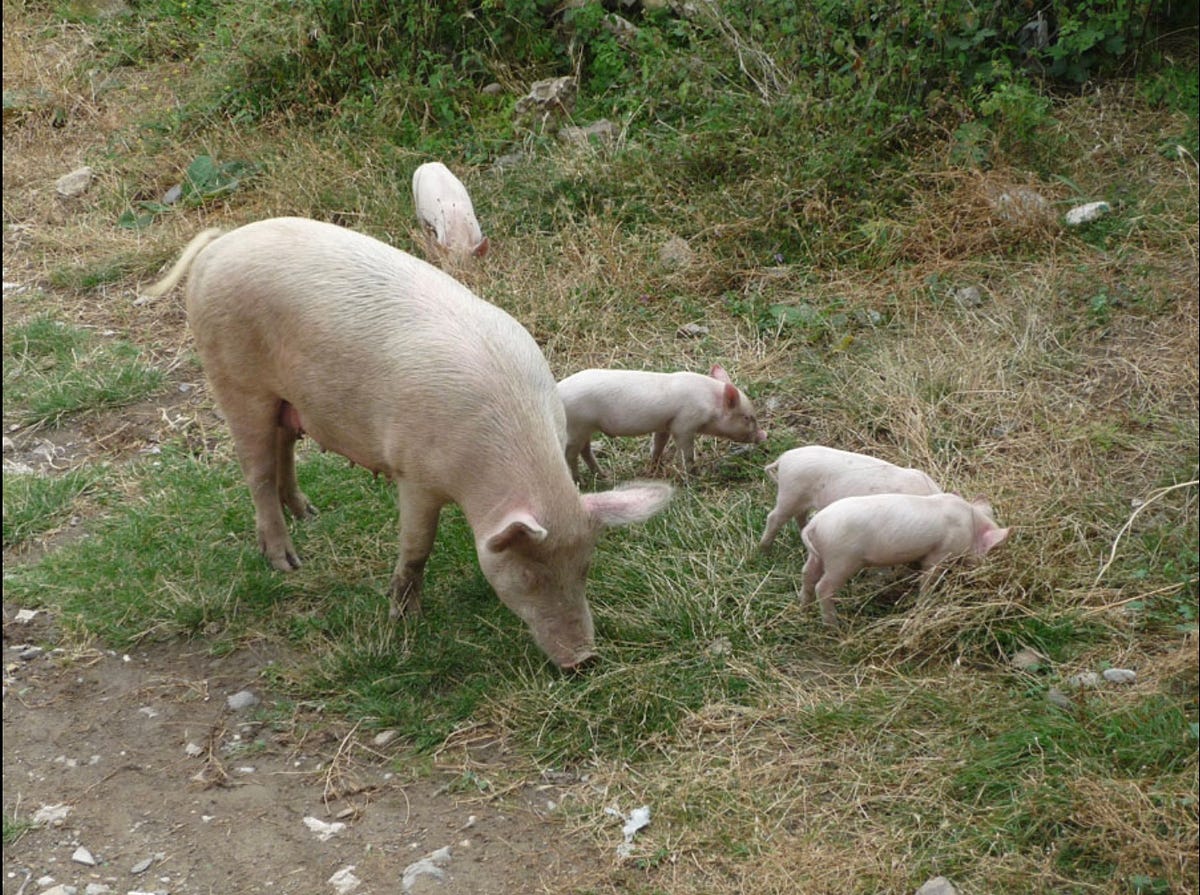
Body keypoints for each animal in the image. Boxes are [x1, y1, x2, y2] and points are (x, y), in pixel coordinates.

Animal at [141, 217, 671, 669]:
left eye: (585, 568)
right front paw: (404, 619)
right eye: (529, 575)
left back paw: (309, 513)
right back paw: (287, 562)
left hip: (288, 397)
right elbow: (417, 547)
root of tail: (219, 246)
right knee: (258, 470)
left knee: (285, 444)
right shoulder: (413, 473)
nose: (584, 659)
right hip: (234, 380)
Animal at [556, 366, 768, 479]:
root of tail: (556, 391)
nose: (764, 435)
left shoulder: (665, 425)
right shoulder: (684, 424)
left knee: (585, 450)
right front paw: (694, 475)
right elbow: (686, 451)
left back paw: (604, 476)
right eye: (747, 418)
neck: (709, 404)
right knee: (570, 454)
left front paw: (653, 469)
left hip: (586, 428)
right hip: (577, 426)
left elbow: (658, 444)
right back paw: (579, 481)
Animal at [759, 446, 940, 550]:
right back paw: (764, 549)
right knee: (773, 517)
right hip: (790, 493)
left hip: (801, 498)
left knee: (799, 516)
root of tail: (783, 458)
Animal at [799, 492, 1009, 626]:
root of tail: (814, 525)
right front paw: (923, 603)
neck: (970, 527)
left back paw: (804, 609)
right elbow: (928, 577)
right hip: (841, 559)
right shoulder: (939, 553)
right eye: (991, 551)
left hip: (818, 556)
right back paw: (833, 627)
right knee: (823, 587)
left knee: (807, 574)